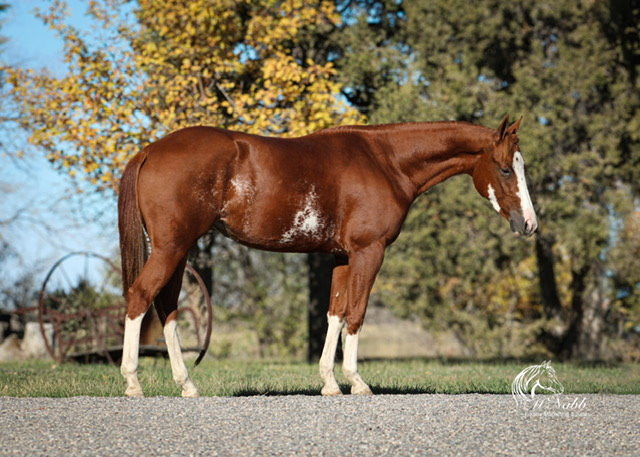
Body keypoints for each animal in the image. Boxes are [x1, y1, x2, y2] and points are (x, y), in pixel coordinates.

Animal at [118, 114, 537, 397]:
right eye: (505, 168)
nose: (529, 224)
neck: (385, 160)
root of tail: (150, 150)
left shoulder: (342, 256)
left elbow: (335, 314)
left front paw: (330, 384)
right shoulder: (369, 251)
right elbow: (357, 313)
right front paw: (357, 382)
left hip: (178, 250)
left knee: (167, 307)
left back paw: (187, 385)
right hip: (172, 247)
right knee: (139, 297)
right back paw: (134, 382)